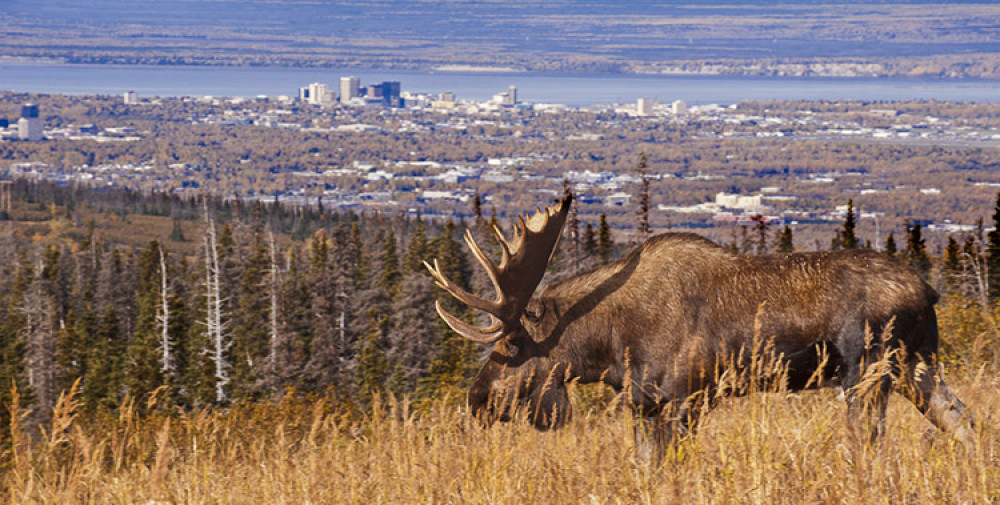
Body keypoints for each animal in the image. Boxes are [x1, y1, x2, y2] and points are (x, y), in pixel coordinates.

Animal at [424, 195, 975, 457]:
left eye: (508, 348)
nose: (476, 399)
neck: (608, 346)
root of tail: (928, 291)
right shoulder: (644, 405)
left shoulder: (686, 398)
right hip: (916, 366)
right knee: (962, 419)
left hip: (867, 375)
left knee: (872, 443)